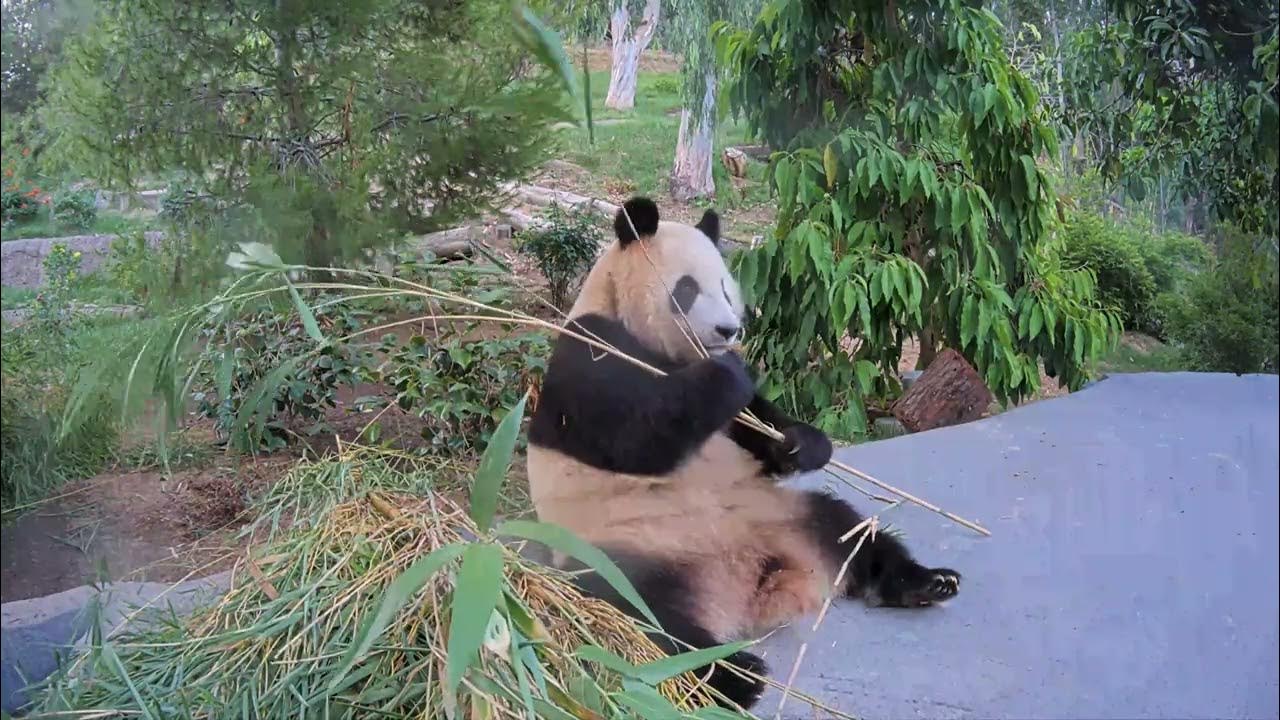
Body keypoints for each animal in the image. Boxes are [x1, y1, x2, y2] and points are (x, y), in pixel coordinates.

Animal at [525, 197, 961, 709]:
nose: (728, 330)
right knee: (650, 619)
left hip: (782, 515)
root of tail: (750, 590)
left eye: (725, 287)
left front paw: (801, 445)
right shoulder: (591, 350)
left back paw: (926, 583)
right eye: (687, 289)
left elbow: (756, 422)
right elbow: (636, 436)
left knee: (850, 529)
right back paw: (739, 677)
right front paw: (729, 371)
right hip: (622, 555)